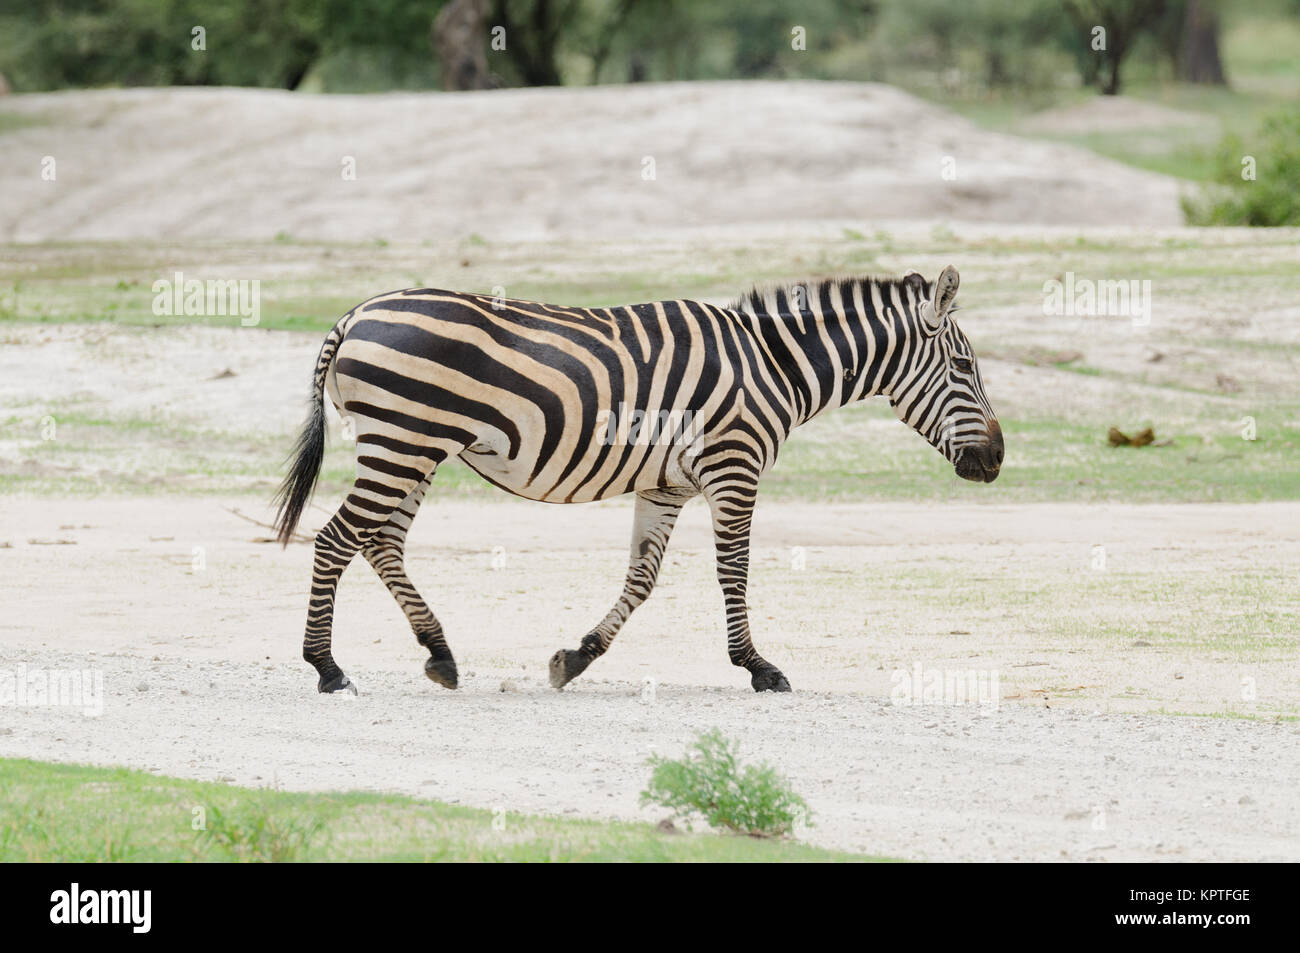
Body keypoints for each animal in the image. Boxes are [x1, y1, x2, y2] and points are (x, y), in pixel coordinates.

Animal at [274, 265, 1002, 696]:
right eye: (965, 367)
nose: (996, 460)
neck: (774, 365)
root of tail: (356, 313)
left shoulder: (667, 485)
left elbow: (642, 578)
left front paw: (577, 657)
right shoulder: (734, 465)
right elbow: (733, 571)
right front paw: (758, 667)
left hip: (415, 447)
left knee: (381, 542)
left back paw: (441, 653)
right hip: (405, 441)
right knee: (337, 540)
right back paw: (329, 669)